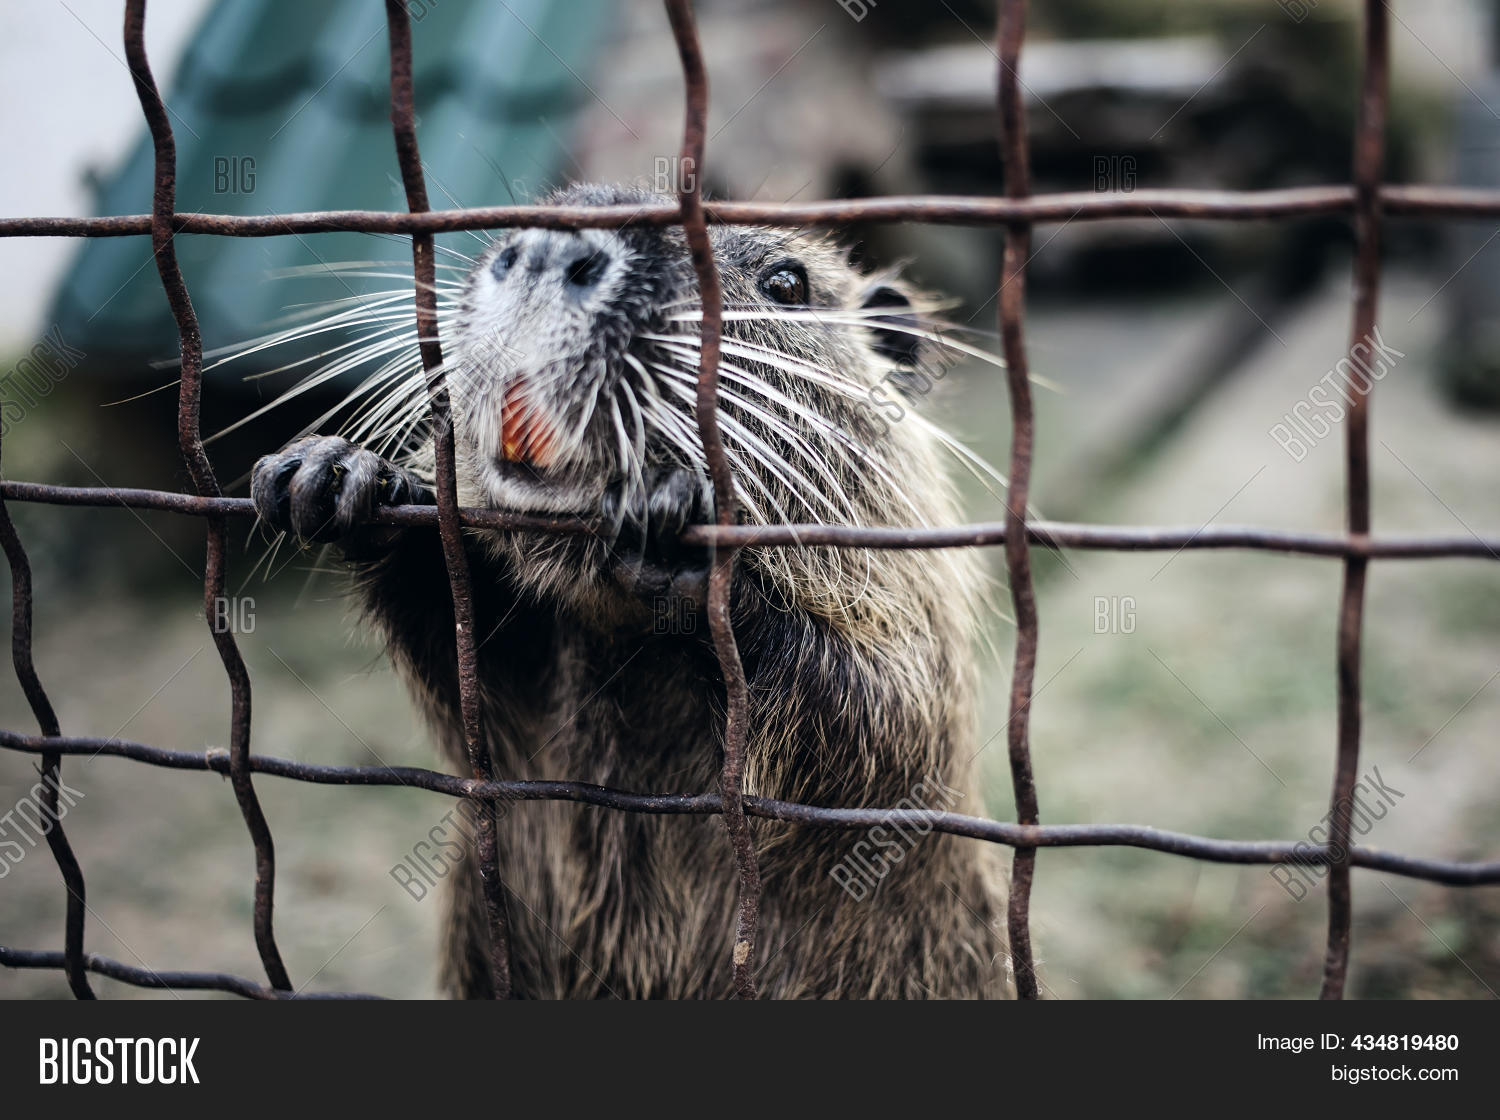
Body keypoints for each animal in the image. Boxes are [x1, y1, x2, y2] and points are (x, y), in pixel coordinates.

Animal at [249, 183, 1009, 998]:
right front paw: (335, 474)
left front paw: (667, 524)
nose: (553, 247)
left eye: (786, 282)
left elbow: (877, 727)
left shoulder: (920, 633)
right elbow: (470, 684)